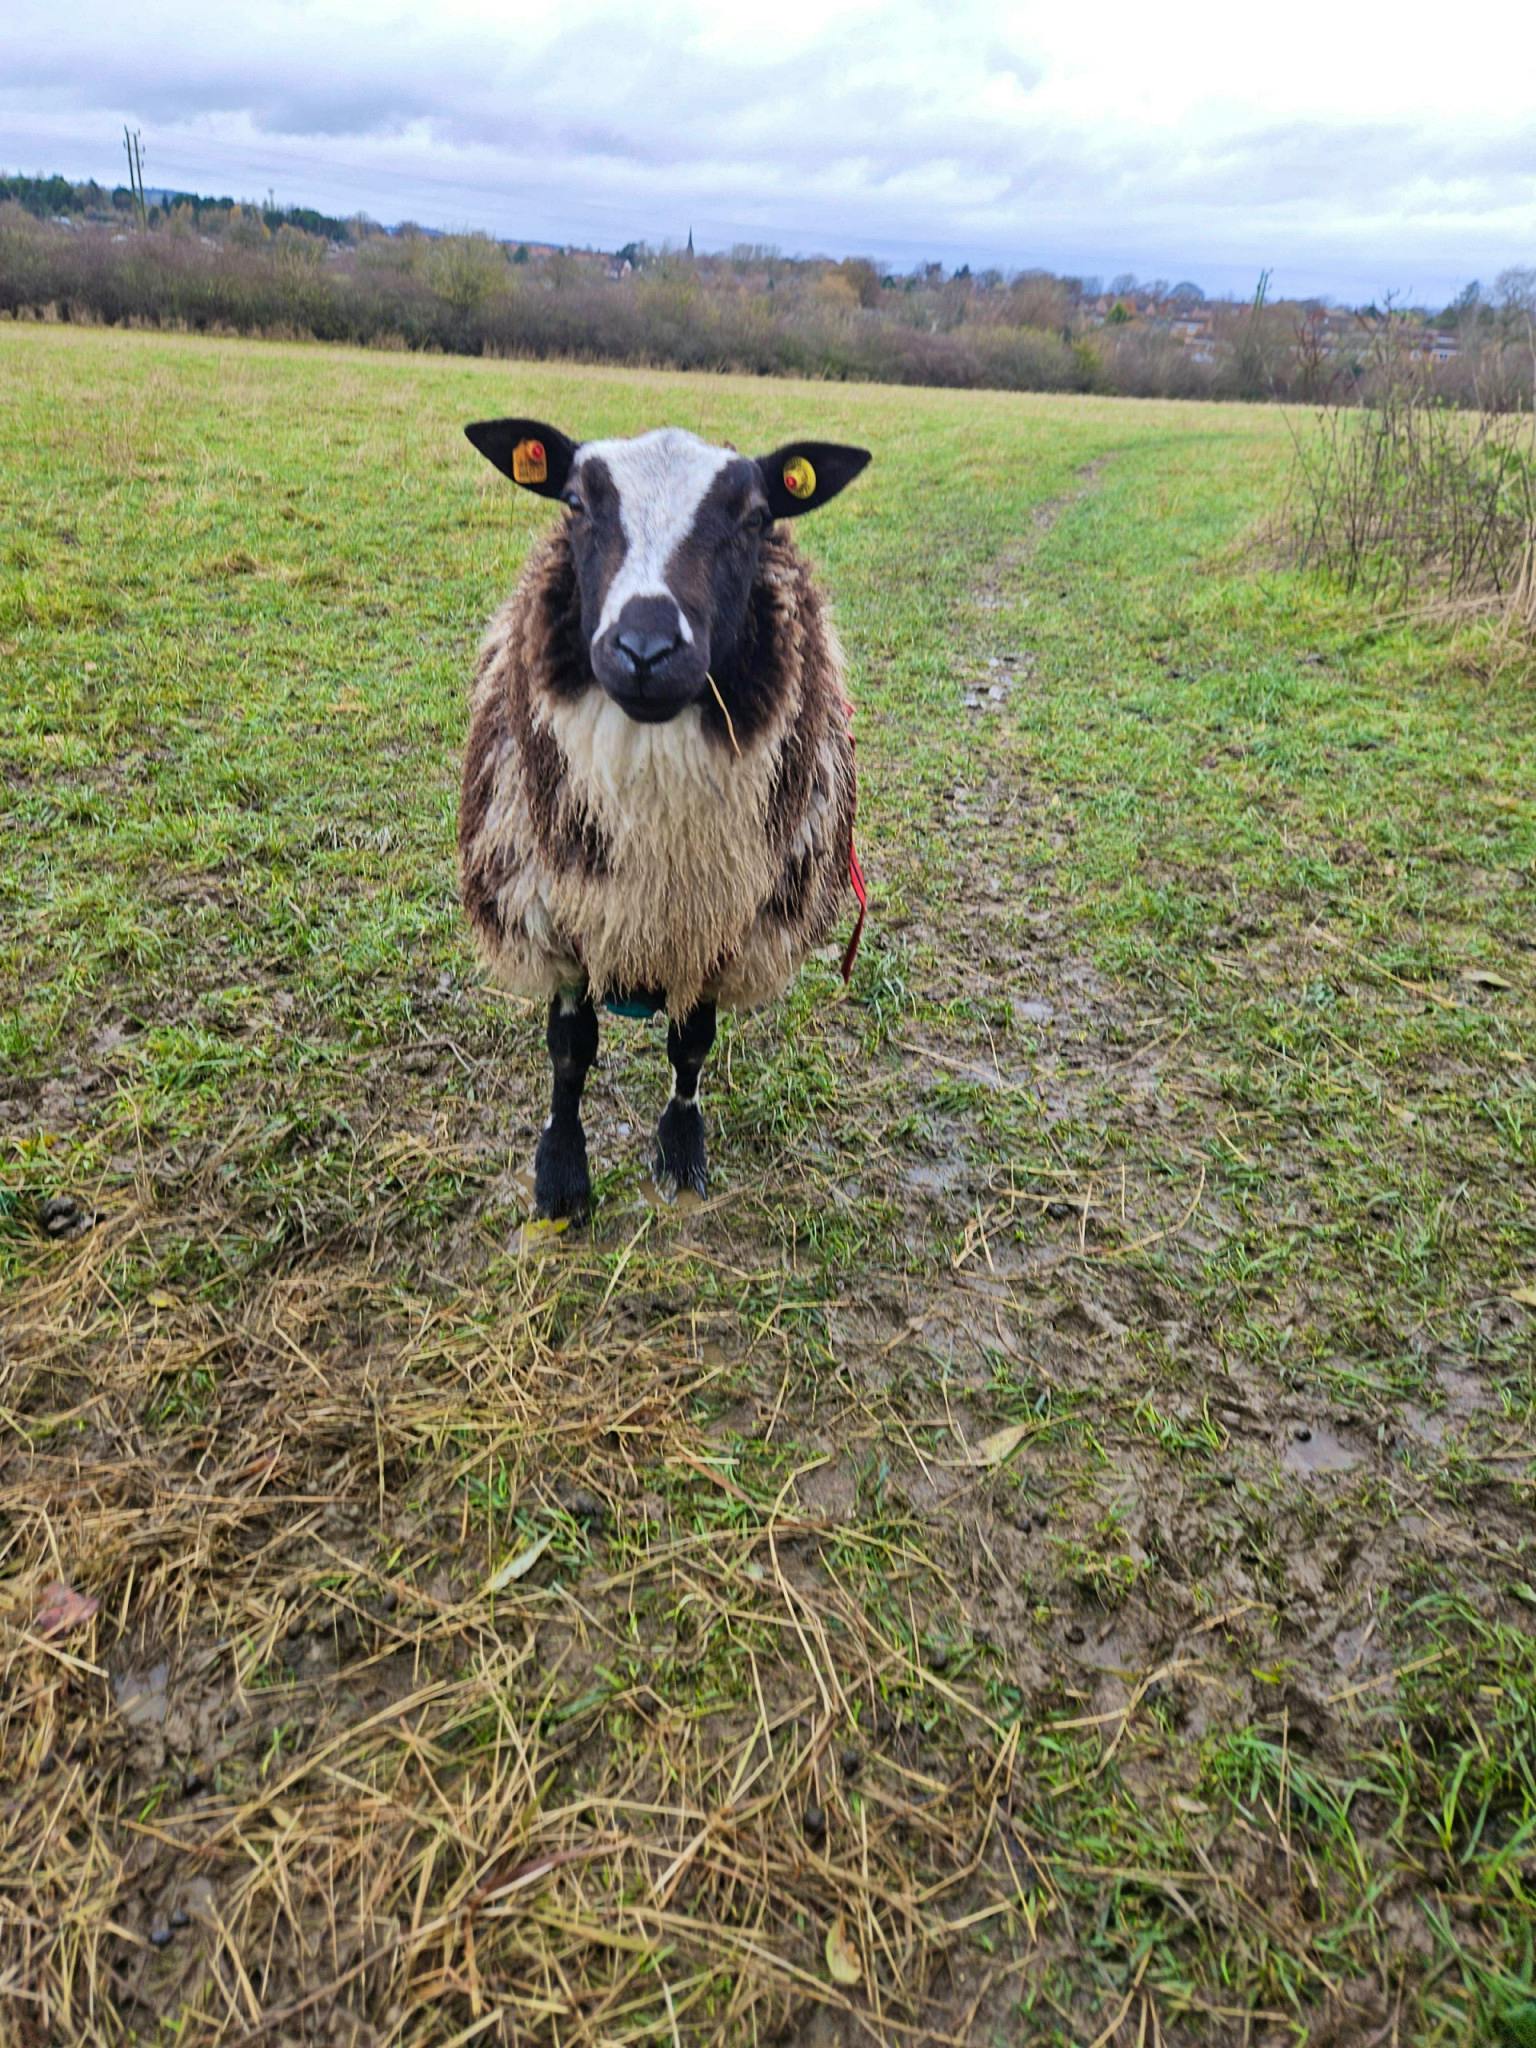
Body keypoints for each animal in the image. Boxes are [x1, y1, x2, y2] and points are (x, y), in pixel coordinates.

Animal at [458, 417, 871, 1222]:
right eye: (576, 503)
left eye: (755, 517)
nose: (644, 651)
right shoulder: (556, 909)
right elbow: (570, 1049)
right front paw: (561, 1175)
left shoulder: (721, 922)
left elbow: (693, 1042)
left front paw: (681, 1150)